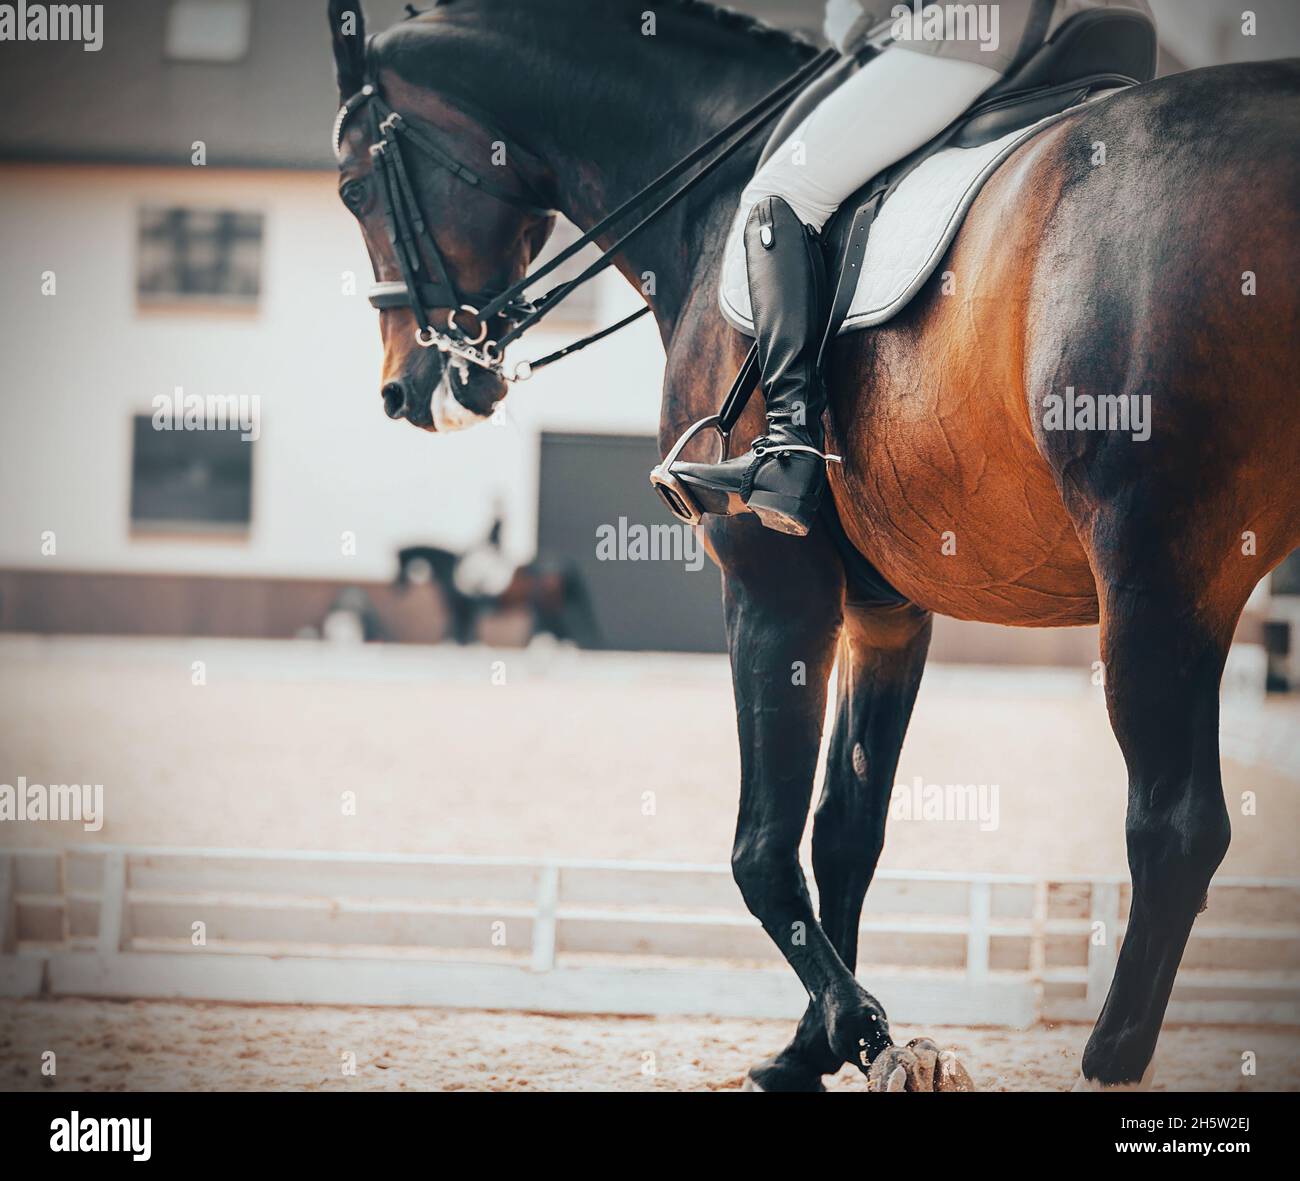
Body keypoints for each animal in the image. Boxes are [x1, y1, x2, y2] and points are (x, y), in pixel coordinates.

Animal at [328, 0, 1300, 1091]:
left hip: (1155, 572)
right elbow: (843, 827)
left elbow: (761, 843)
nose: (408, 390)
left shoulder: (771, 582)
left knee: (1174, 826)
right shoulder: (887, 608)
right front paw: (814, 1043)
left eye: (354, 187)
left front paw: (869, 1032)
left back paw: (1105, 1060)